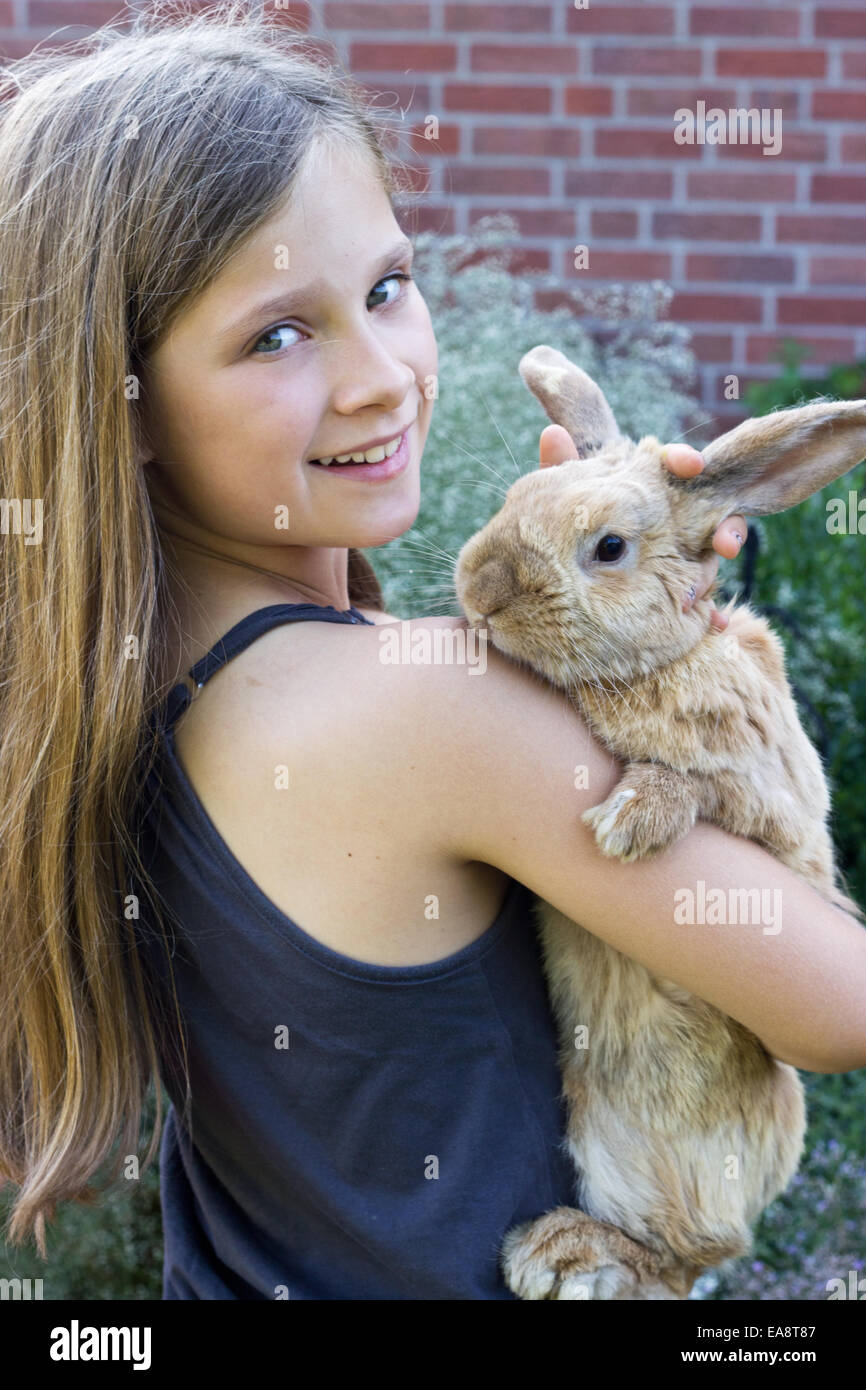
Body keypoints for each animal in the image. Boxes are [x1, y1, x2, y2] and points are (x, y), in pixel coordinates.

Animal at [453, 344, 866, 1301]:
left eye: (608, 547)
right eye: (512, 499)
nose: (480, 591)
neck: (653, 663)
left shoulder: (775, 808)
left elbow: (703, 788)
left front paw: (632, 820)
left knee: (687, 1253)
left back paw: (557, 1253)